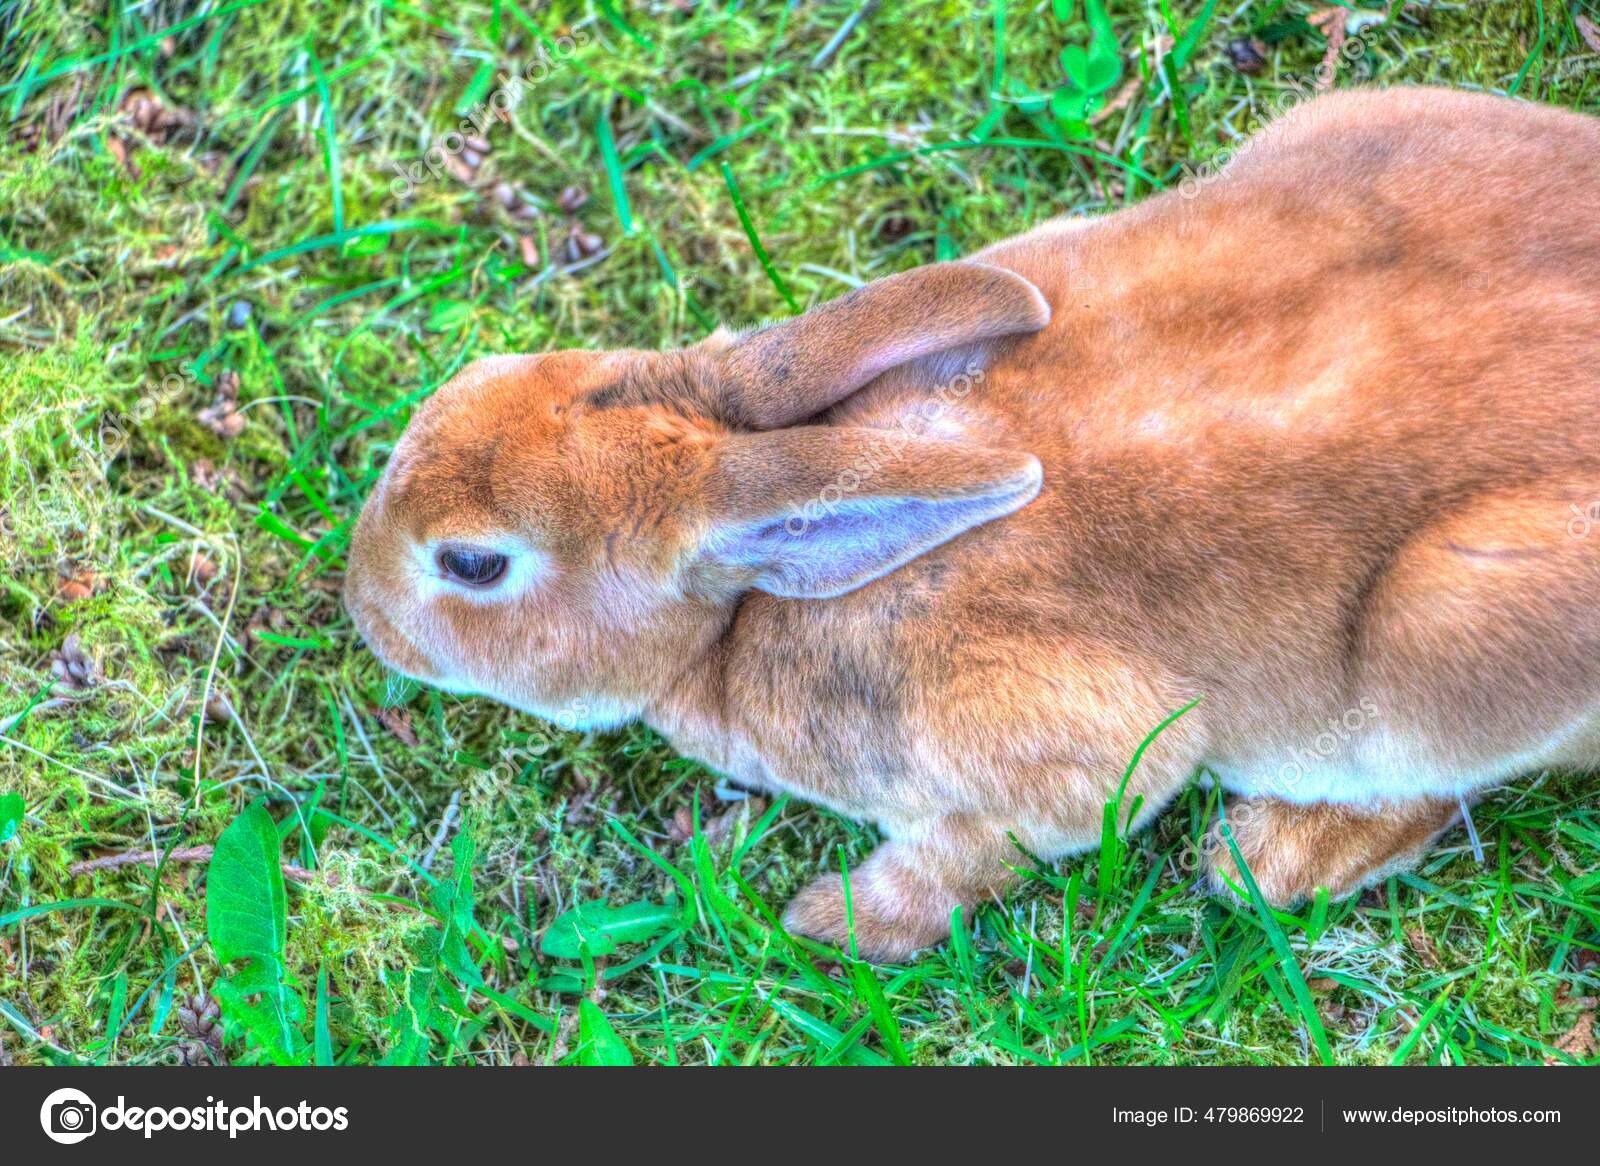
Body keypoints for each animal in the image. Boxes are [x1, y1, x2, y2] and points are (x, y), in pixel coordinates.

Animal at [345, 87, 1600, 961]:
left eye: (473, 563)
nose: (362, 613)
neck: (750, 598)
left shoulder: (1062, 750)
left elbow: (987, 844)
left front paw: (831, 921)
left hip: (1448, 635)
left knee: (1433, 781)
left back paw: (1269, 857)